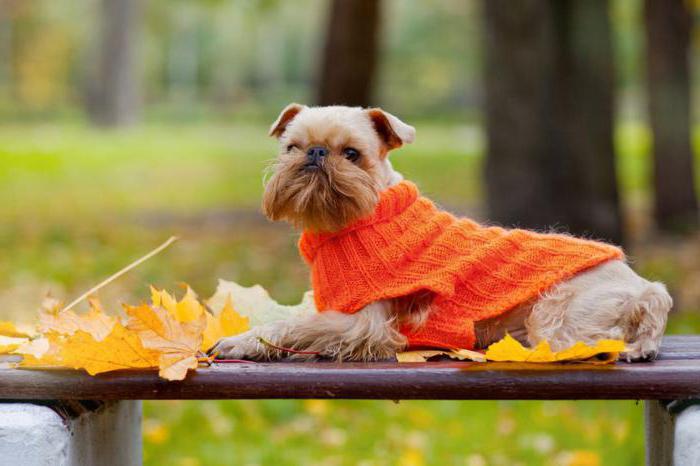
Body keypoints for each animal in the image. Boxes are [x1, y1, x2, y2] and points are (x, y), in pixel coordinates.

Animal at [209, 104, 672, 362]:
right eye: (291, 148)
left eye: (352, 154)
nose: (316, 153)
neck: (357, 221)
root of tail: (644, 287)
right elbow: (291, 316)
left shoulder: (363, 324)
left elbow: (295, 324)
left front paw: (240, 342)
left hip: (556, 318)